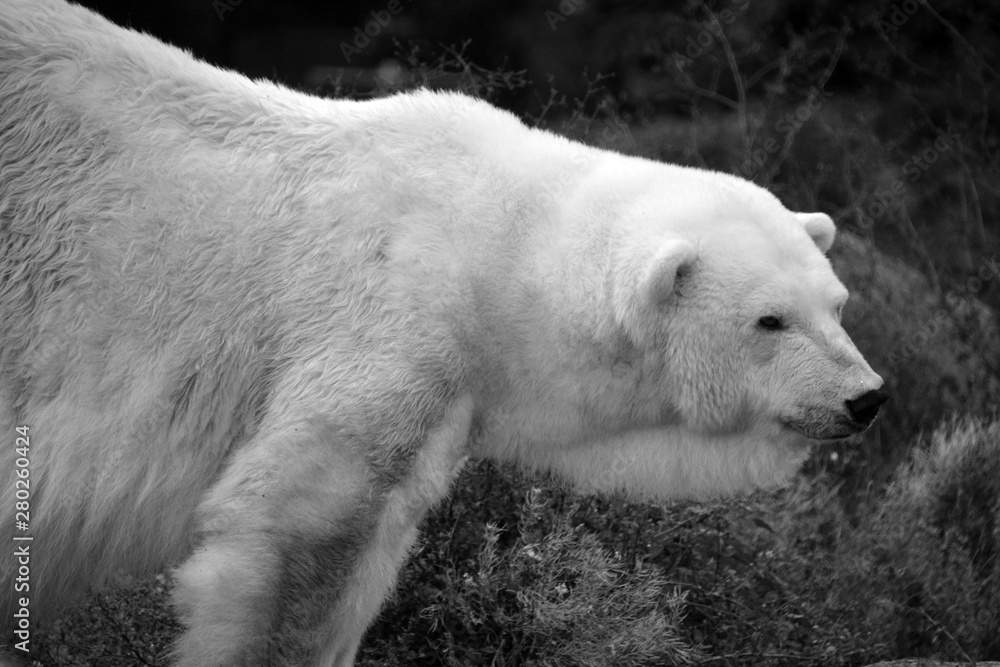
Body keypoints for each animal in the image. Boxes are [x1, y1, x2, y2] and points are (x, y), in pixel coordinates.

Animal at [0, 0, 887, 664]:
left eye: (837, 303)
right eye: (769, 319)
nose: (867, 397)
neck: (491, 242)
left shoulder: (443, 401)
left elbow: (370, 551)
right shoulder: (383, 325)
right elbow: (294, 531)